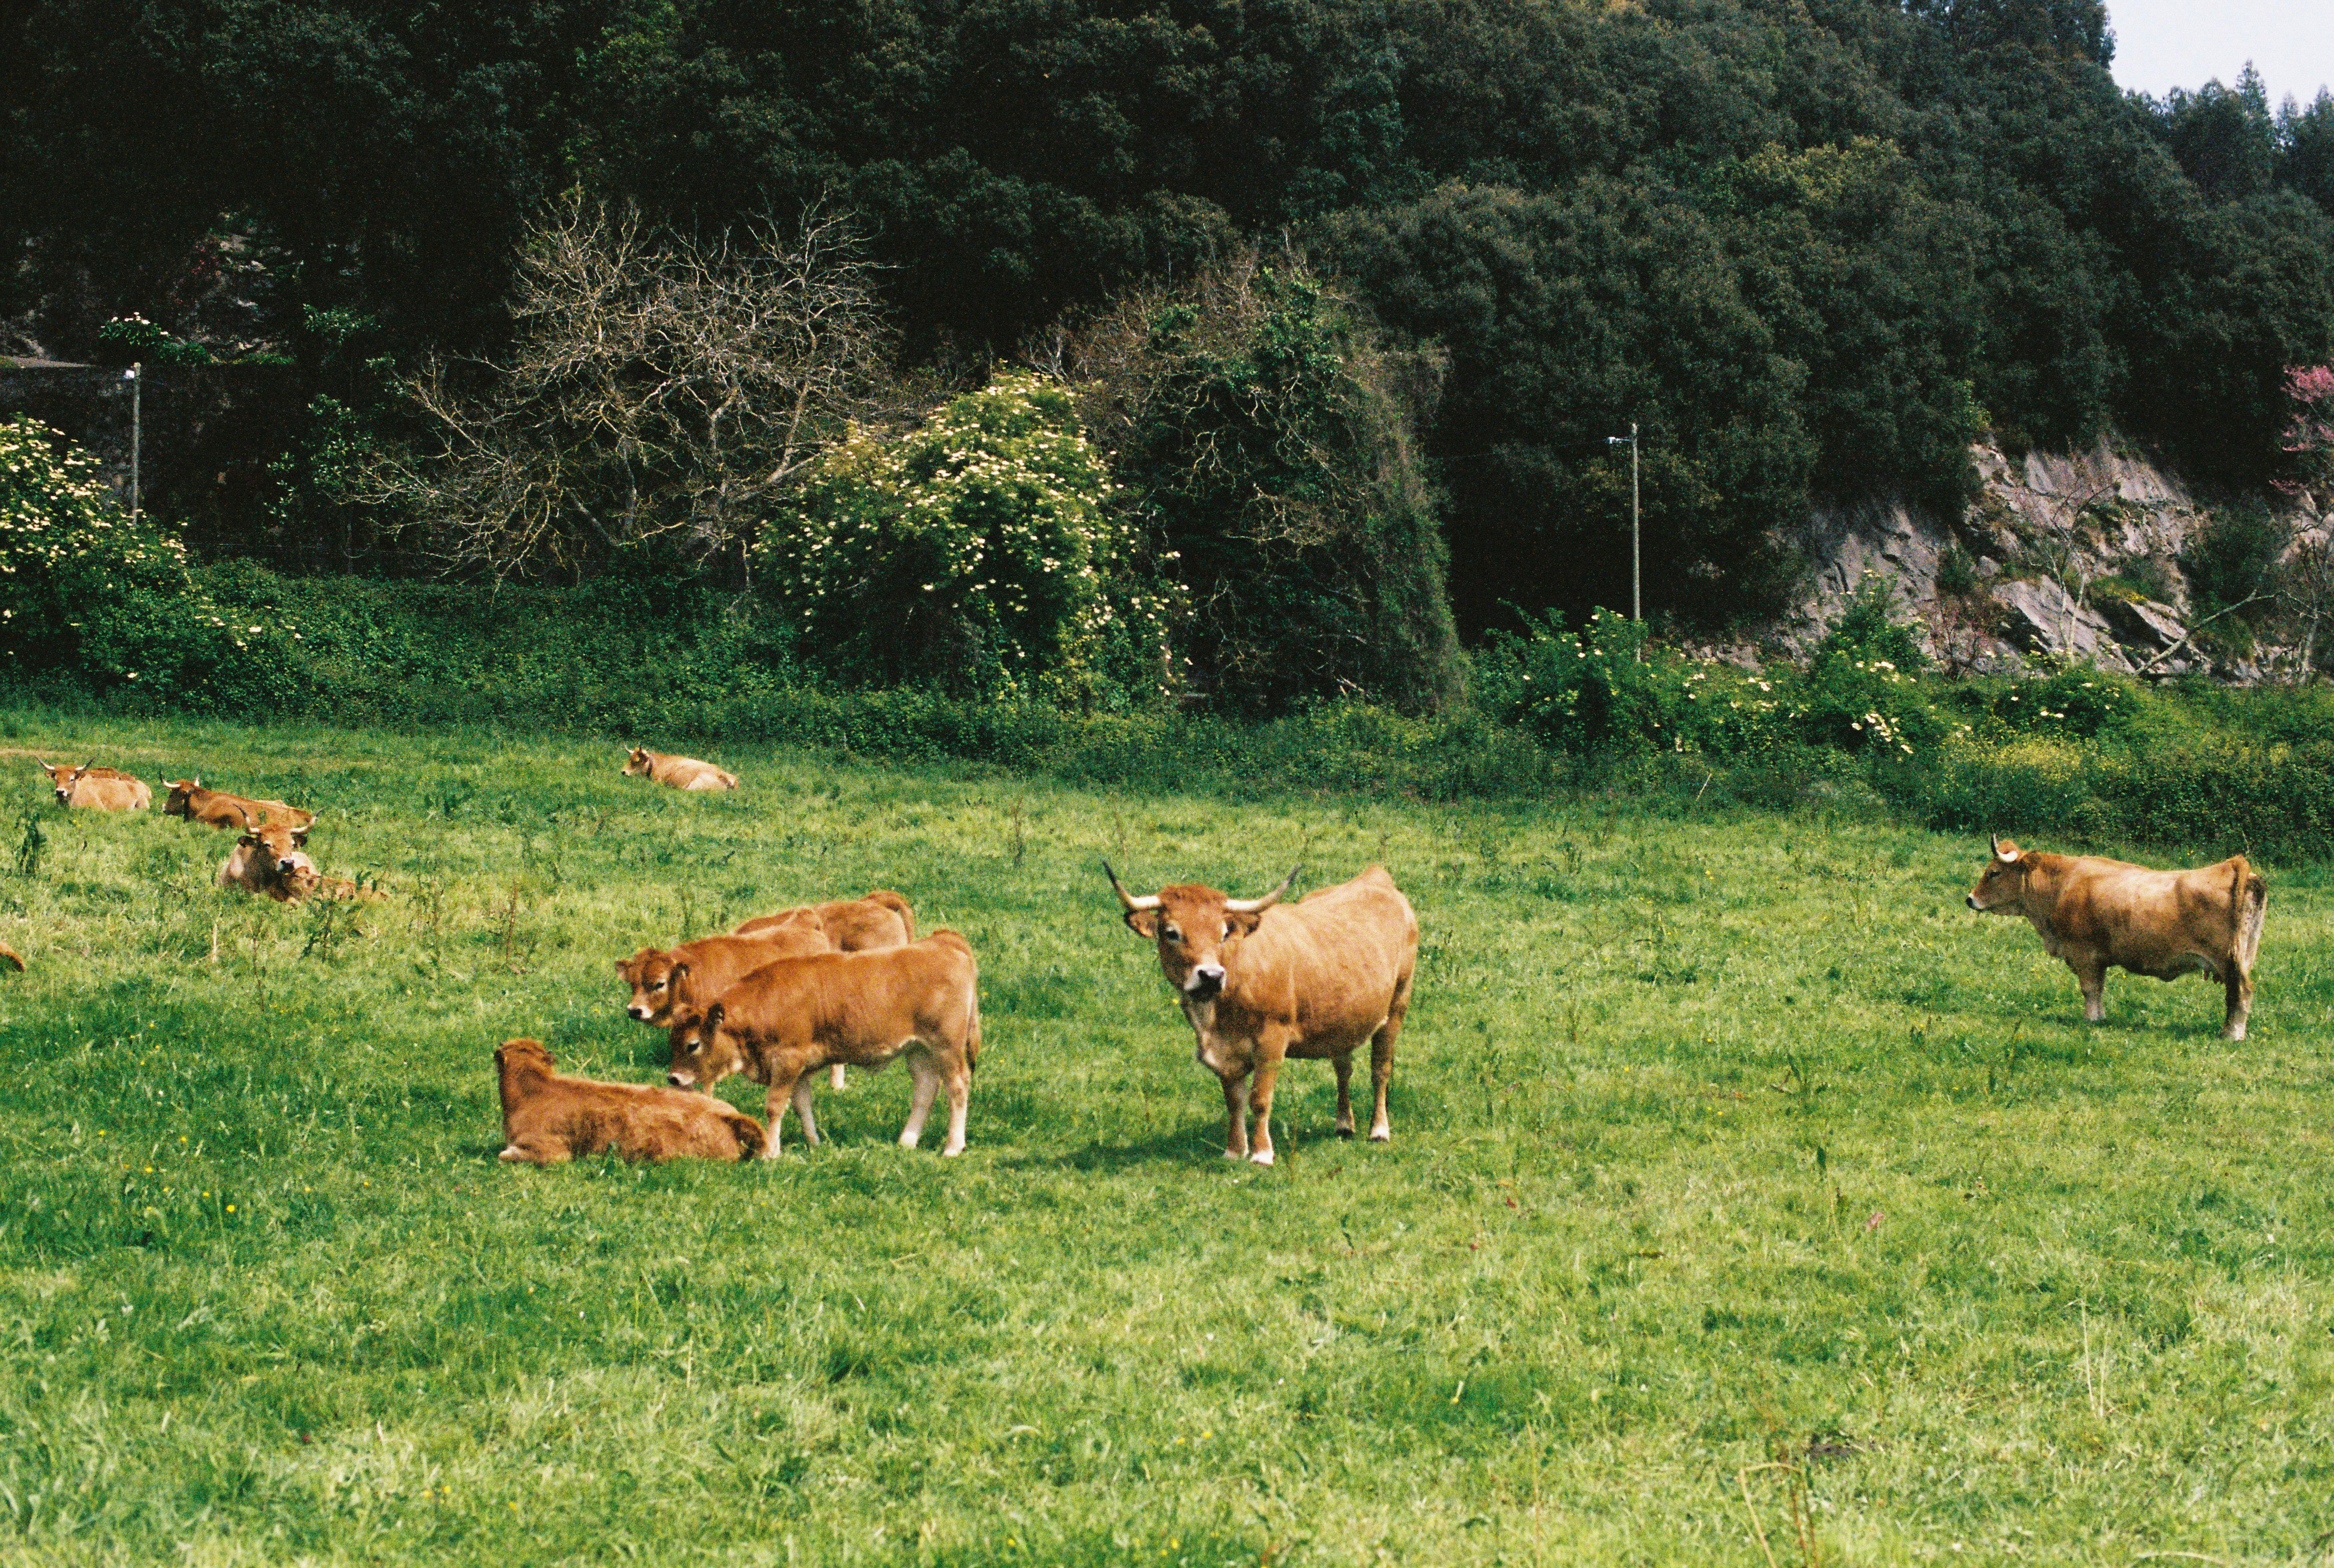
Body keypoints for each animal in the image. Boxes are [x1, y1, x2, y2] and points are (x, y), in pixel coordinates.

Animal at [662, 931, 983, 1158]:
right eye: (672, 1040)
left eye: (693, 1044)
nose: (674, 1078)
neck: (766, 1003)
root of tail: (945, 942)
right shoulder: (801, 1069)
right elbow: (802, 1106)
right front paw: (814, 1144)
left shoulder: (787, 1062)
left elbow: (775, 1106)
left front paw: (770, 1152)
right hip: (918, 1051)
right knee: (926, 1090)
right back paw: (906, 1142)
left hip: (946, 1049)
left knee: (957, 1088)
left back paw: (953, 1147)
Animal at [1107, 863, 1418, 1166]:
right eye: (1172, 933)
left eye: (1224, 933)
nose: (1211, 976)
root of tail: (1376, 876)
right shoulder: (1226, 1052)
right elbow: (1235, 1101)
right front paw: (1234, 1151)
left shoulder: (1271, 1041)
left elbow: (1259, 1099)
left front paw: (1262, 1153)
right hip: (1341, 1022)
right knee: (1343, 1069)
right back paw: (1344, 1124)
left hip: (1397, 1005)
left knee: (1380, 1070)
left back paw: (1379, 1130)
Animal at [1965, 835, 2267, 1040]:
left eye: (1994, 873)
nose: (1970, 899)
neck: (2062, 884)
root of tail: (2235, 868)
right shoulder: (2099, 958)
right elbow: (2098, 989)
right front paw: (2099, 1018)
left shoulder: (2084, 955)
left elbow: (2089, 989)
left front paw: (2090, 1019)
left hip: (2230, 963)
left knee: (2240, 994)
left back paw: (2231, 1035)